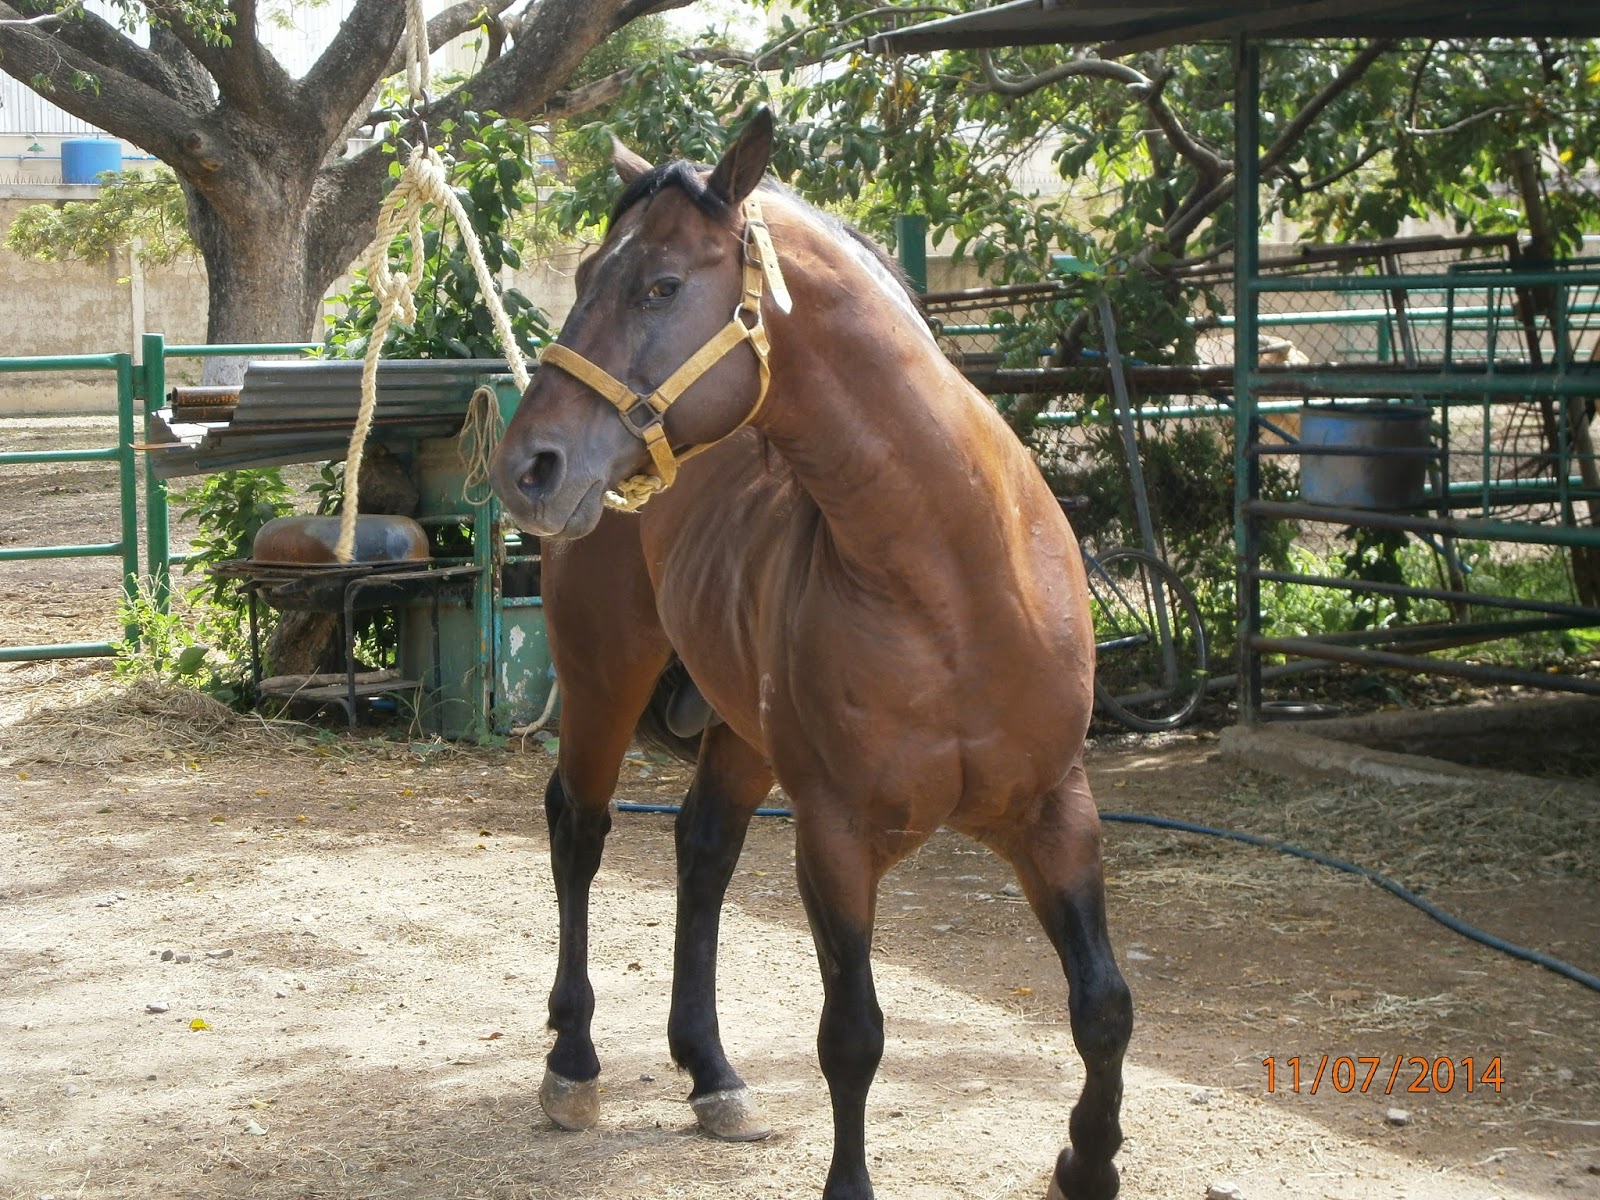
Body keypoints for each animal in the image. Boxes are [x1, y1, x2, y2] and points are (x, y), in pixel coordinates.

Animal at [489, 108, 1133, 1200]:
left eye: (660, 285)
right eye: (580, 277)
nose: (530, 465)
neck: (953, 580)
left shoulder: (1056, 812)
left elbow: (1102, 1008)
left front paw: (1083, 1167)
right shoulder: (835, 833)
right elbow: (853, 1034)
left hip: (738, 730)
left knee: (701, 849)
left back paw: (712, 1075)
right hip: (603, 675)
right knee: (579, 829)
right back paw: (573, 1065)